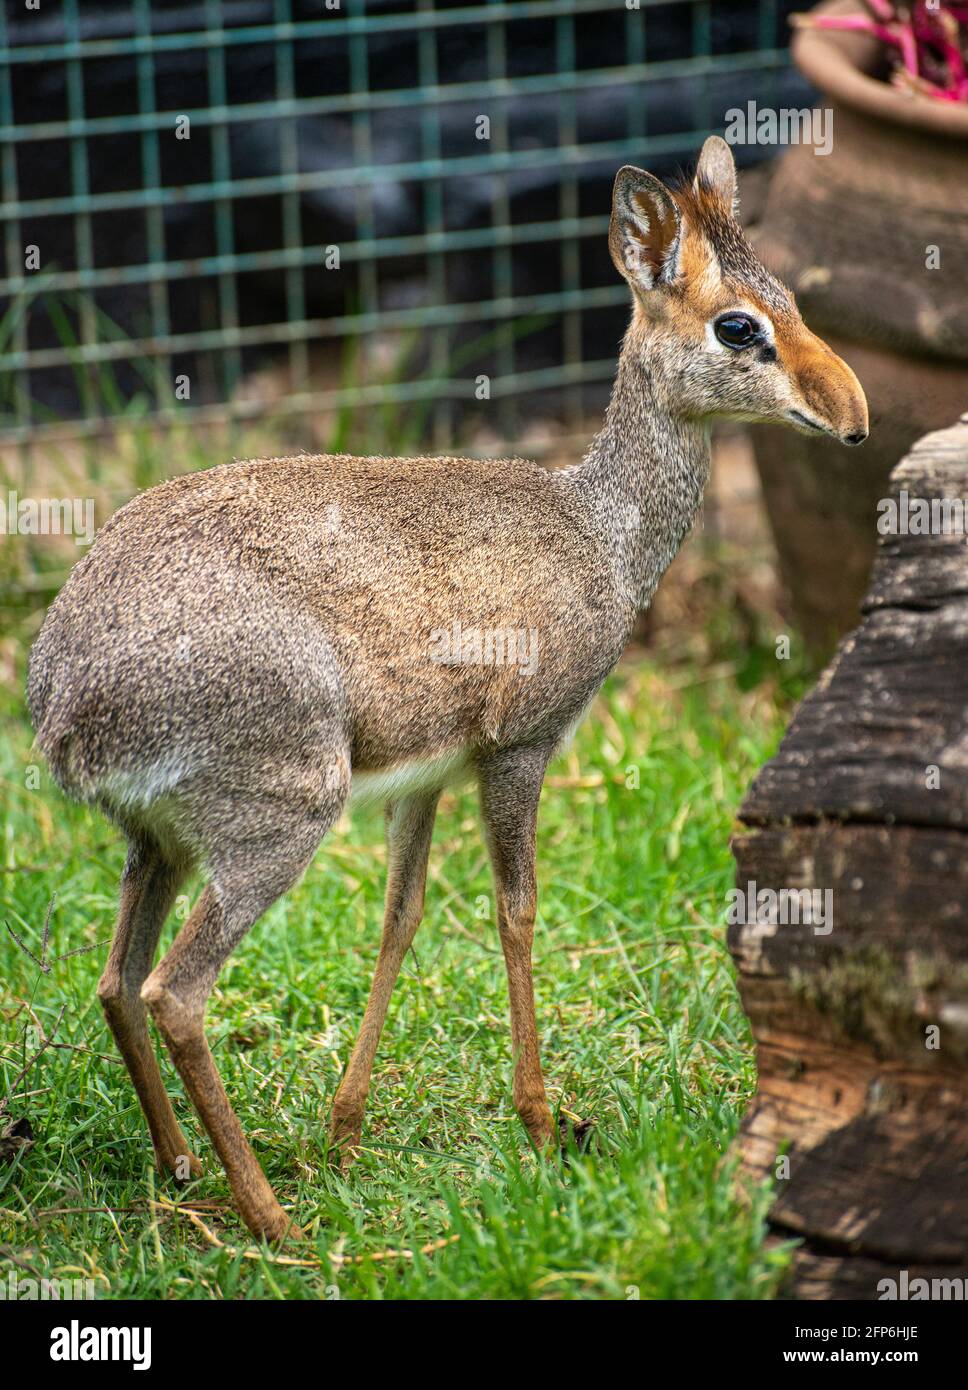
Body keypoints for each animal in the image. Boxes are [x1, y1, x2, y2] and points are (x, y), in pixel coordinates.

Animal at [28, 138, 868, 1242]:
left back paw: (183, 1169)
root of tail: (59, 697)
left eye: (789, 298)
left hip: (157, 841)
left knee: (117, 983)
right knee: (176, 992)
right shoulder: (520, 747)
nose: (853, 416)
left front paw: (346, 1128)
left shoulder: (424, 777)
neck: (598, 532)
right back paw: (275, 1223)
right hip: (277, 820)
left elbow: (404, 913)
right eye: (738, 325)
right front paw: (542, 1123)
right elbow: (517, 911)